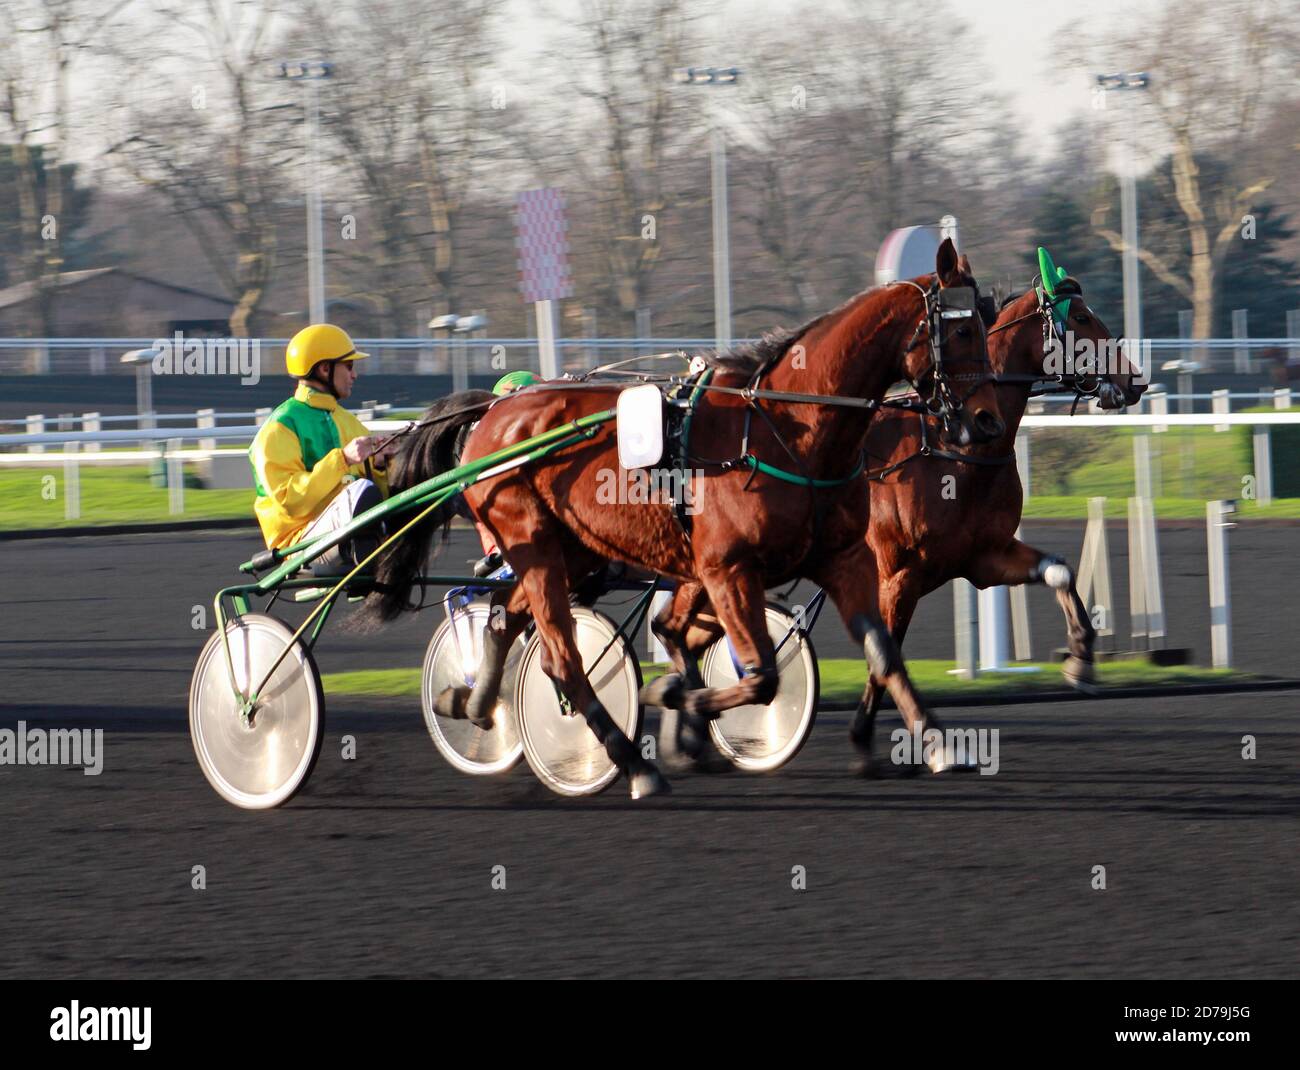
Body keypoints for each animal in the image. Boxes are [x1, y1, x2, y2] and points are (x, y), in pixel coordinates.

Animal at [366, 238, 1008, 798]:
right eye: (962, 328)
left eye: (986, 321)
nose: (988, 421)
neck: (789, 428)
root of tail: (491, 414)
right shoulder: (726, 568)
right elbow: (761, 676)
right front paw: (676, 702)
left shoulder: (843, 558)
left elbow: (883, 652)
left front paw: (937, 741)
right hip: (530, 541)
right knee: (563, 658)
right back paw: (633, 765)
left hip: (570, 550)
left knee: (506, 620)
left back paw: (471, 702)